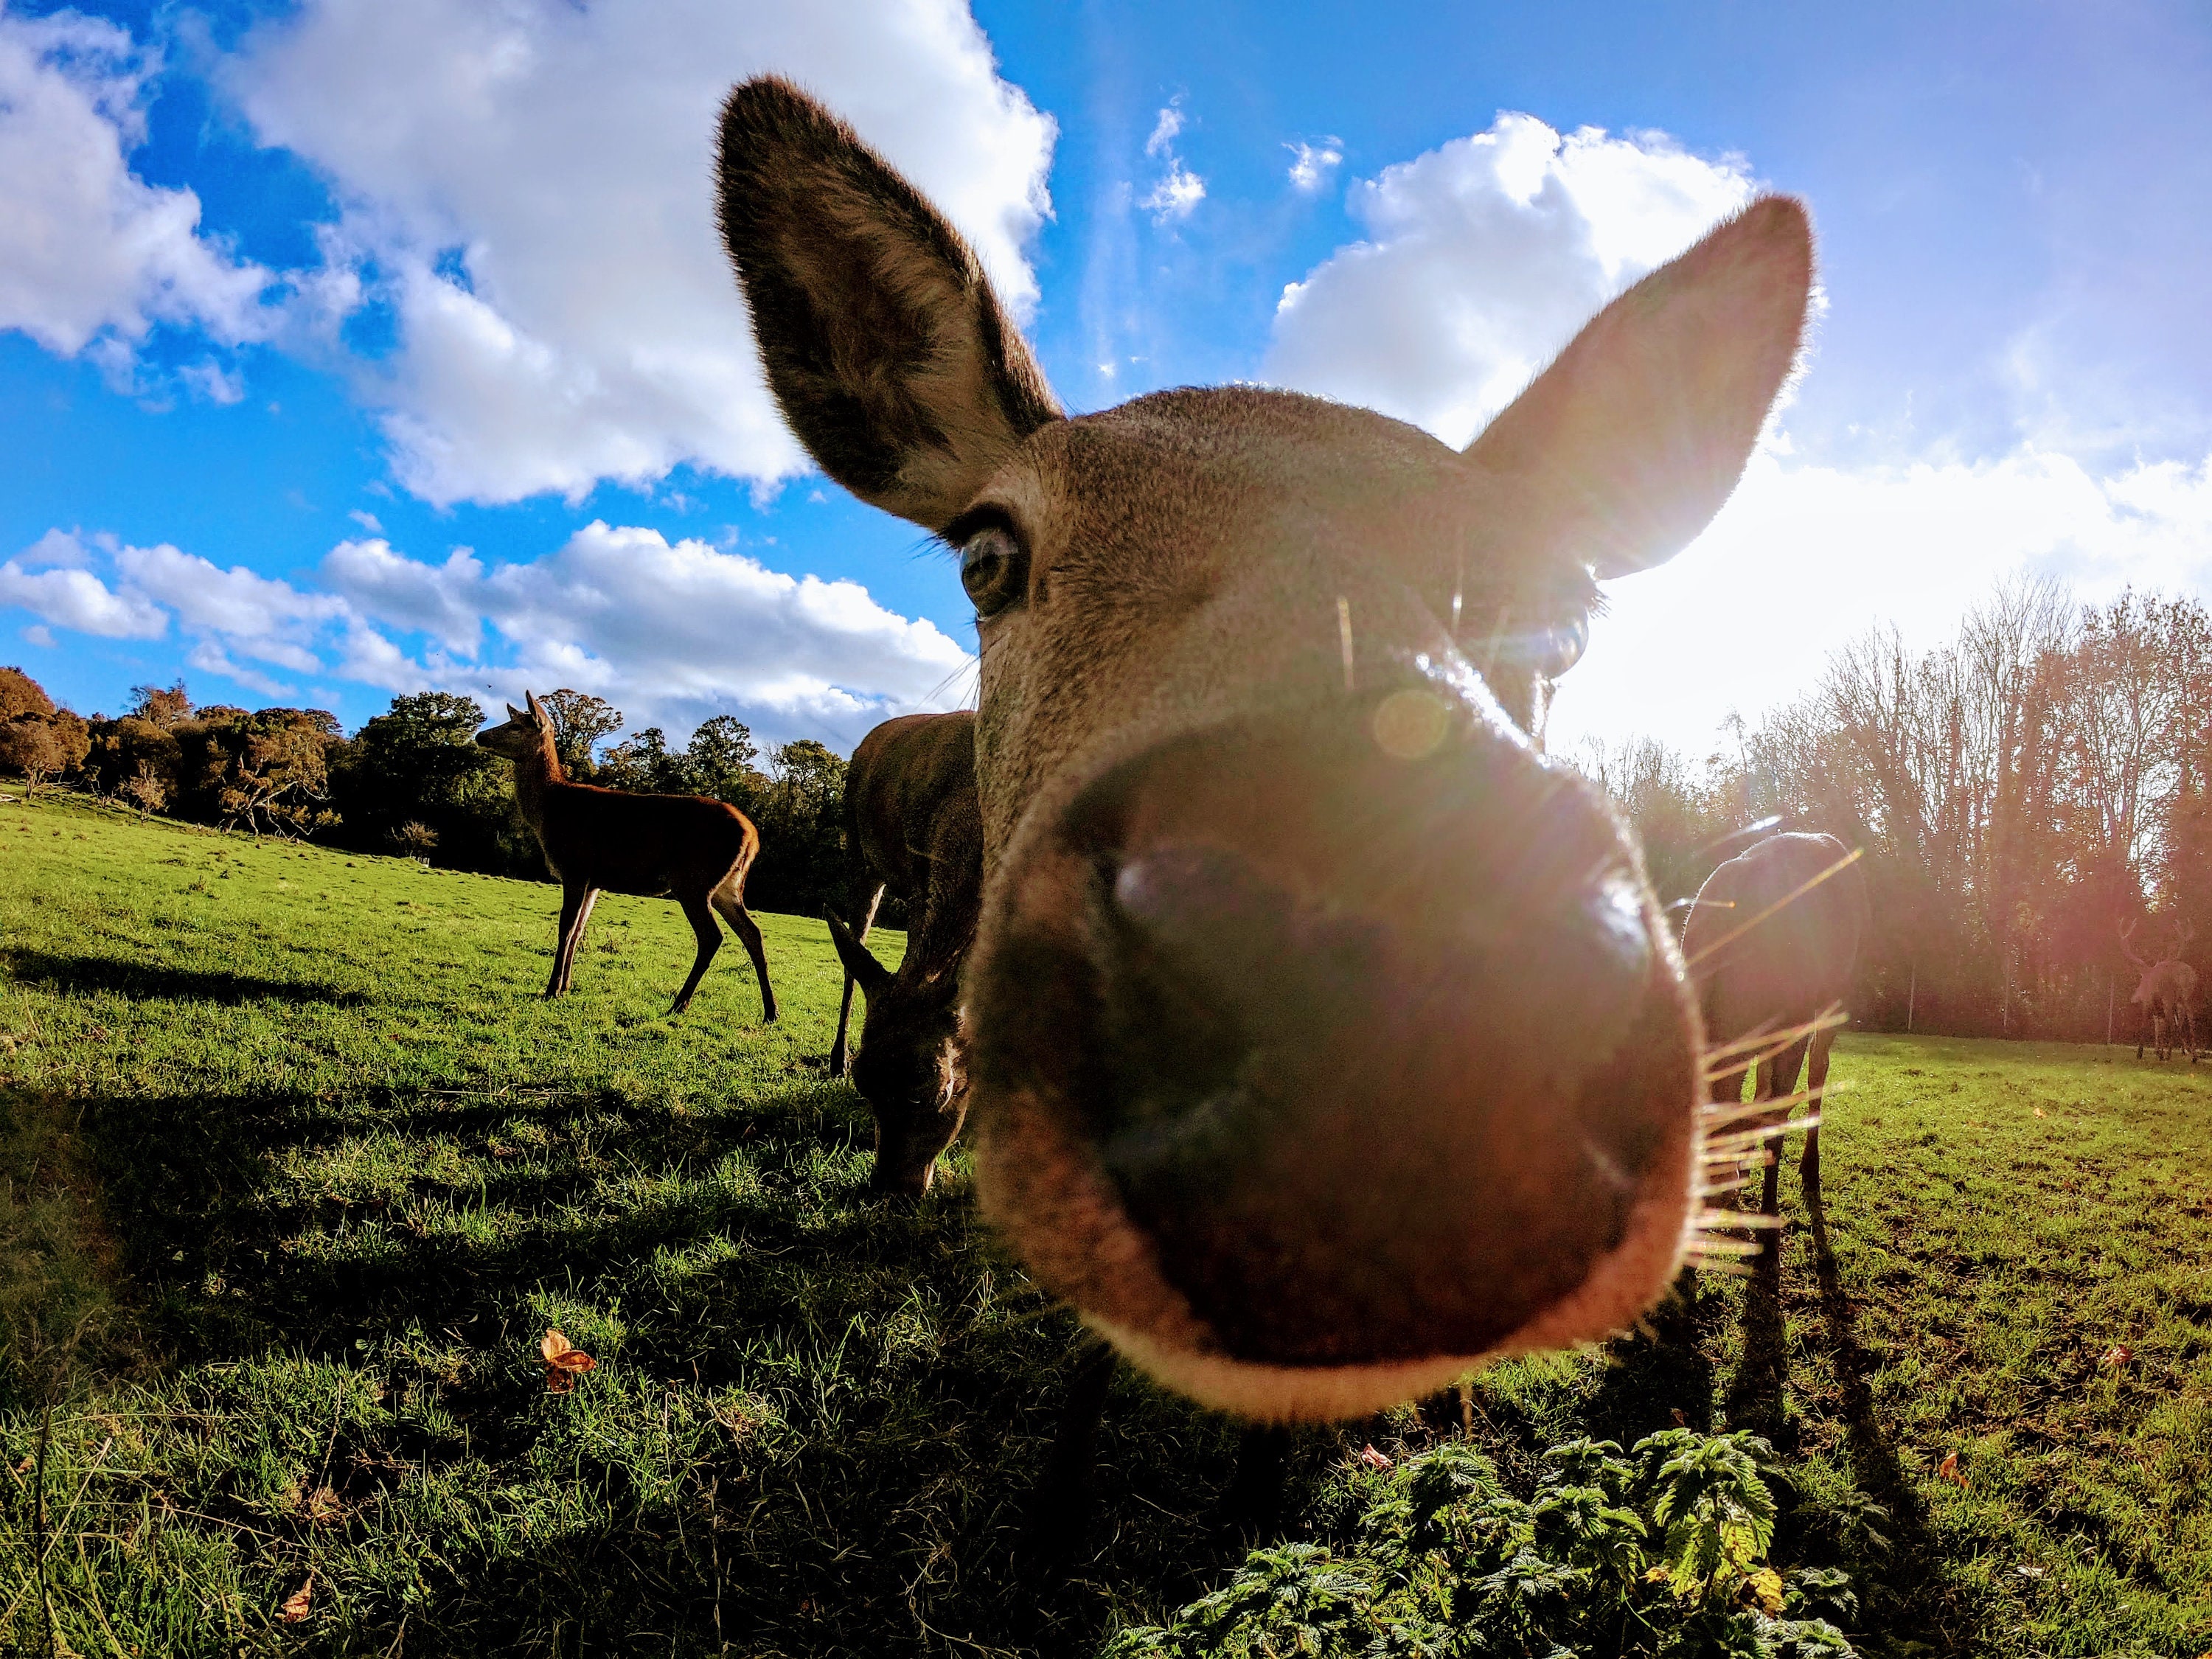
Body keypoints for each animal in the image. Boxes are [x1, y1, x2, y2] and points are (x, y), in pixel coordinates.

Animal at [476, 694, 777, 1021]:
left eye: (516, 726)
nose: (480, 736)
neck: (548, 812)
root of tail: (753, 837)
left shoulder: (575, 866)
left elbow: (565, 927)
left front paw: (551, 989)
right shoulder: (594, 880)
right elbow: (579, 930)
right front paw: (566, 986)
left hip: (694, 880)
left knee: (712, 936)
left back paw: (679, 1003)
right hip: (727, 886)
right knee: (752, 933)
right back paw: (770, 1012)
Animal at [825, 710, 983, 1197]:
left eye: (938, 1092)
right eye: (865, 1084)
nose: (890, 1188)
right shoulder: (919, 879)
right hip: (859, 853)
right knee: (853, 954)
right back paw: (834, 1059)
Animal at [1679, 832, 1868, 1243]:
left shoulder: (1794, 1021)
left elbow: (1776, 1115)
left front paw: (1768, 1226)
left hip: (1837, 993)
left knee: (1817, 1071)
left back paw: (1809, 1169)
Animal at [2119, 916, 2198, 1062]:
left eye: (2141, 982)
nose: (2133, 999)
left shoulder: (2148, 1001)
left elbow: (2145, 1025)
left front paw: (2140, 1053)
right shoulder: (2158, 1009)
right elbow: (2160, 1029)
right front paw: (2159, 1052)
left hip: (2168, 997)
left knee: (2172, 1025)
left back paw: (2167, 1055)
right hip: (2185, 998)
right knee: (2189, 1021)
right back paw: (2193, 1057)